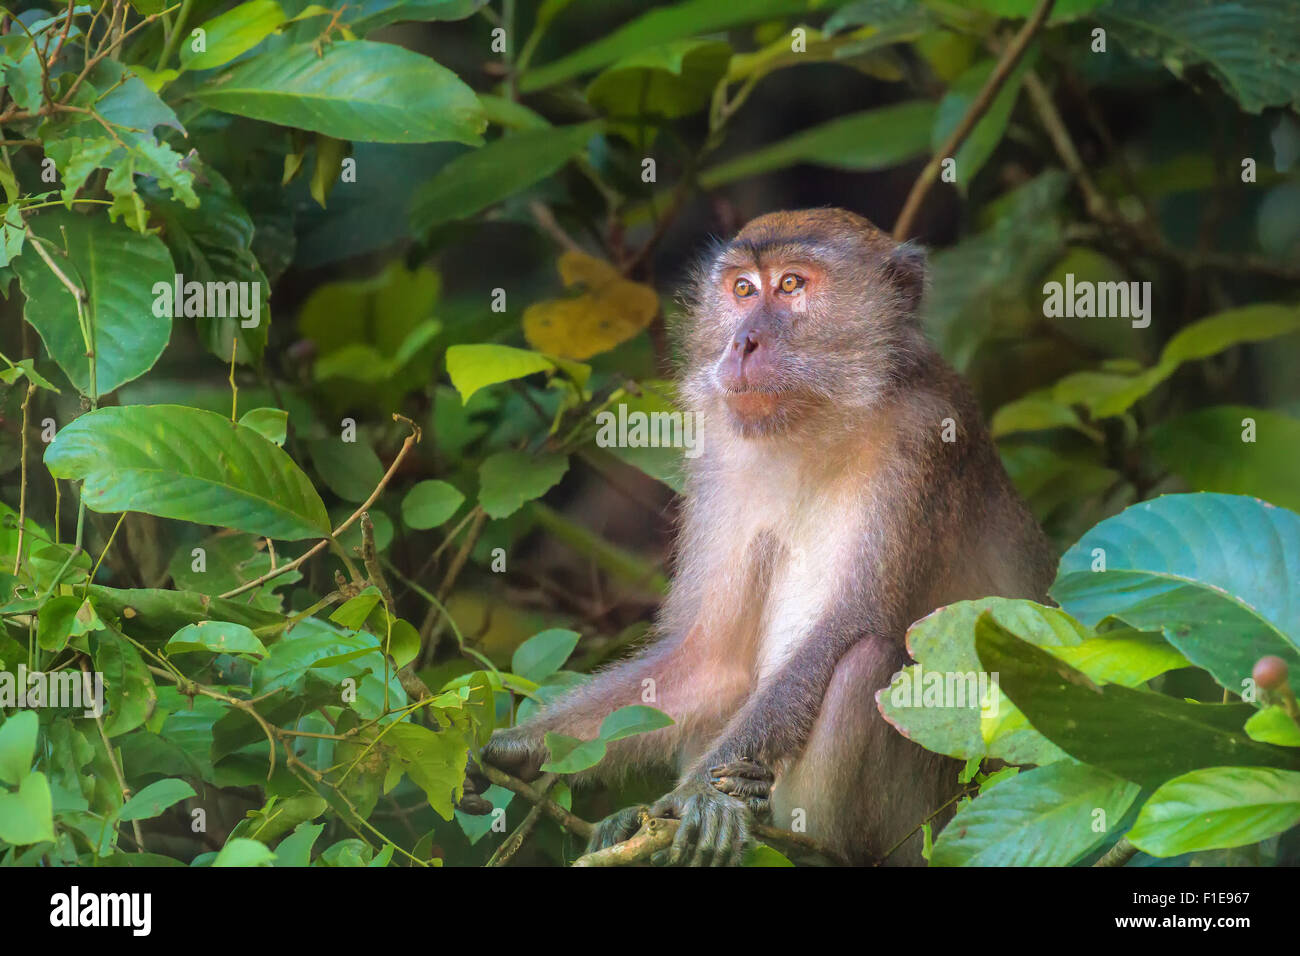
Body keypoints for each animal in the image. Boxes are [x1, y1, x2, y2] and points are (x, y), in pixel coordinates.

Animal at [467, 208, 1056, 866]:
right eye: (744, 289)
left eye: (792, 285)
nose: (742, 341)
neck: (818, 428)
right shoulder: (718, 456)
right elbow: (713, 660)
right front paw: (519, 747)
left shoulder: (926, 439)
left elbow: (850, 624)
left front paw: (696, 795)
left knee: (866, 663)